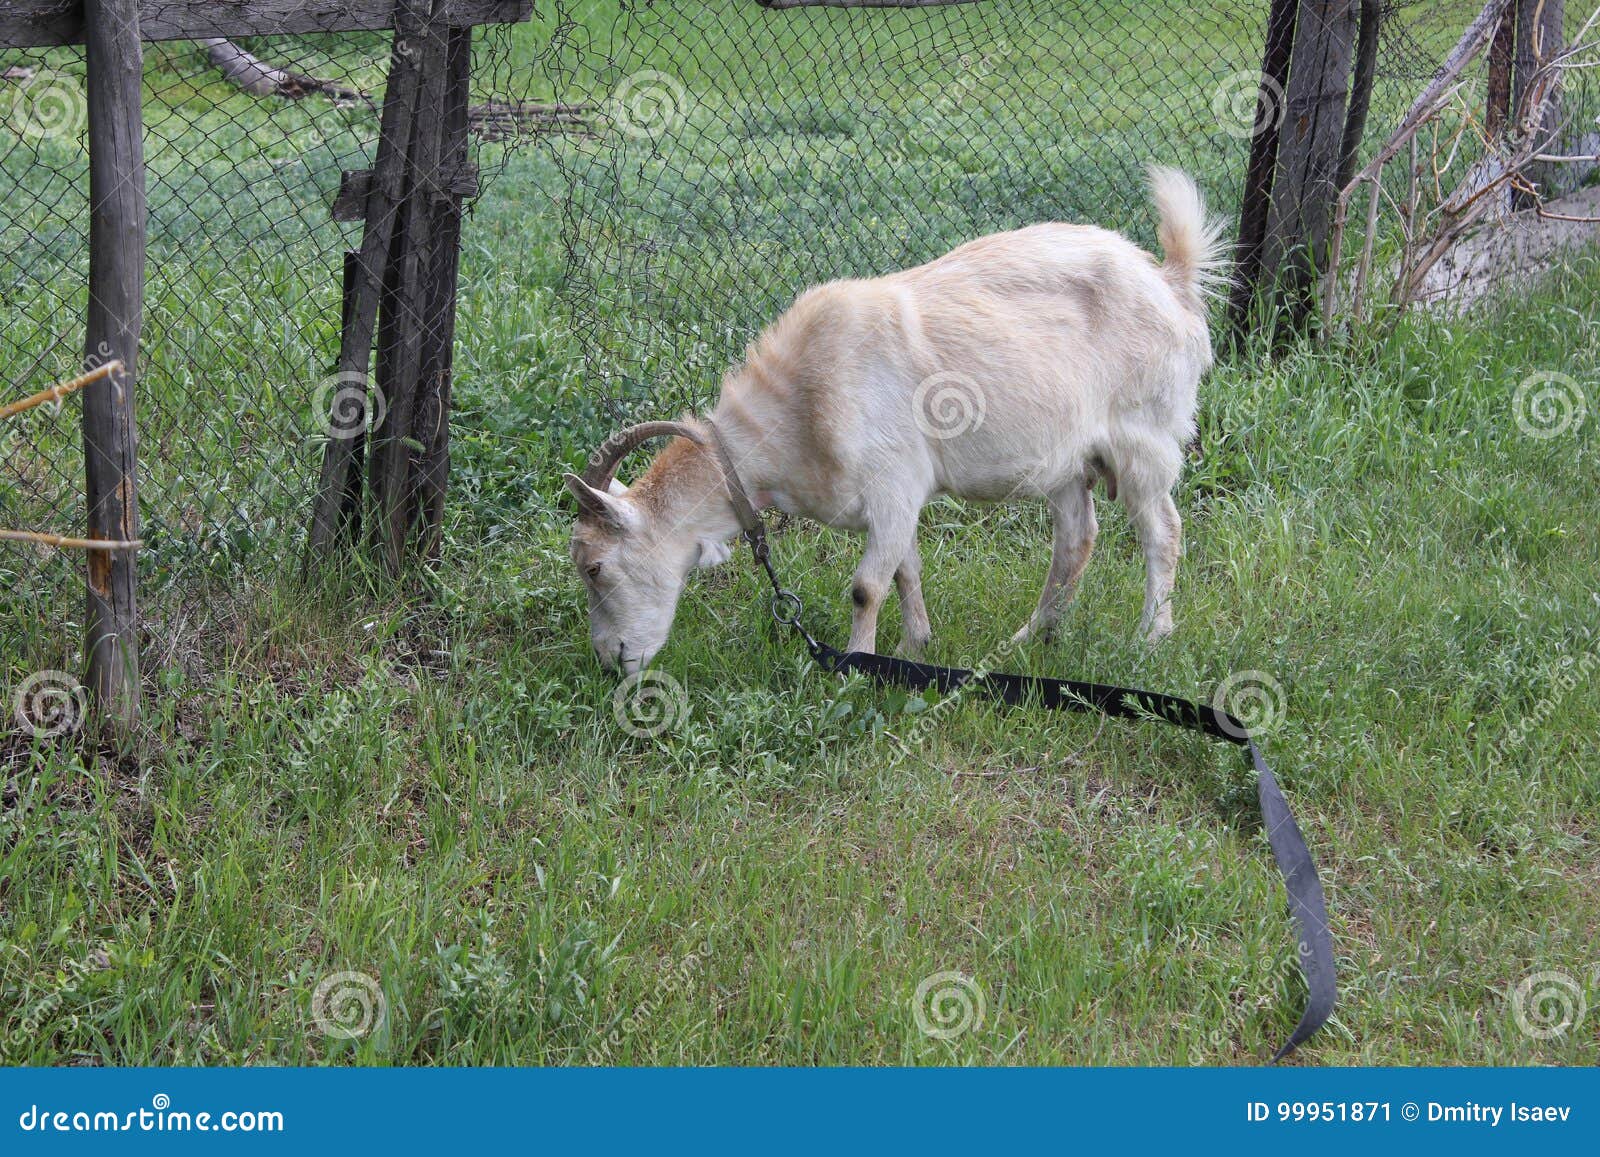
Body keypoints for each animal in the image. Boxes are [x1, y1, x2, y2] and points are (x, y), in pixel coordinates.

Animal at [566, 166, 1226, 675]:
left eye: (595, 567)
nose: (610, 659)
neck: (797, 409)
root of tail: (1172, 281)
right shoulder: (897, 498)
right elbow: (906, 570)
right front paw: (913, 649)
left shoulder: (891, 484)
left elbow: (866, 586)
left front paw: (857, 665)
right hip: (1066, 459)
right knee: (1076, 540)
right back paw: (1029, 637)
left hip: (1144, 437)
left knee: (1163, 531)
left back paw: (1149, 638)